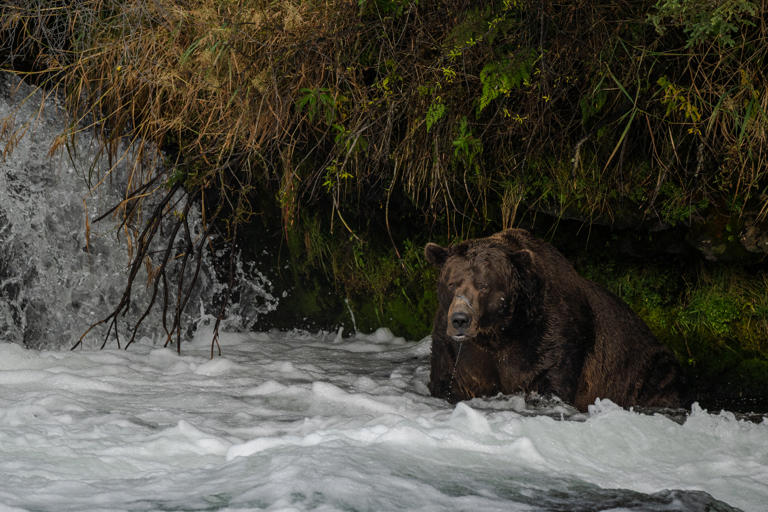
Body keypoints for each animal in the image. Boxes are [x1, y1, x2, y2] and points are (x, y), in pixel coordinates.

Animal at [424, 228, 686, 412]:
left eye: (484, 285)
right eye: (451, 283)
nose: (460, 319)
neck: (500, 332)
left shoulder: (550, 338)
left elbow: (551, 379)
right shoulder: (455, 351)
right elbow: (448, 381)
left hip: (646, 368)